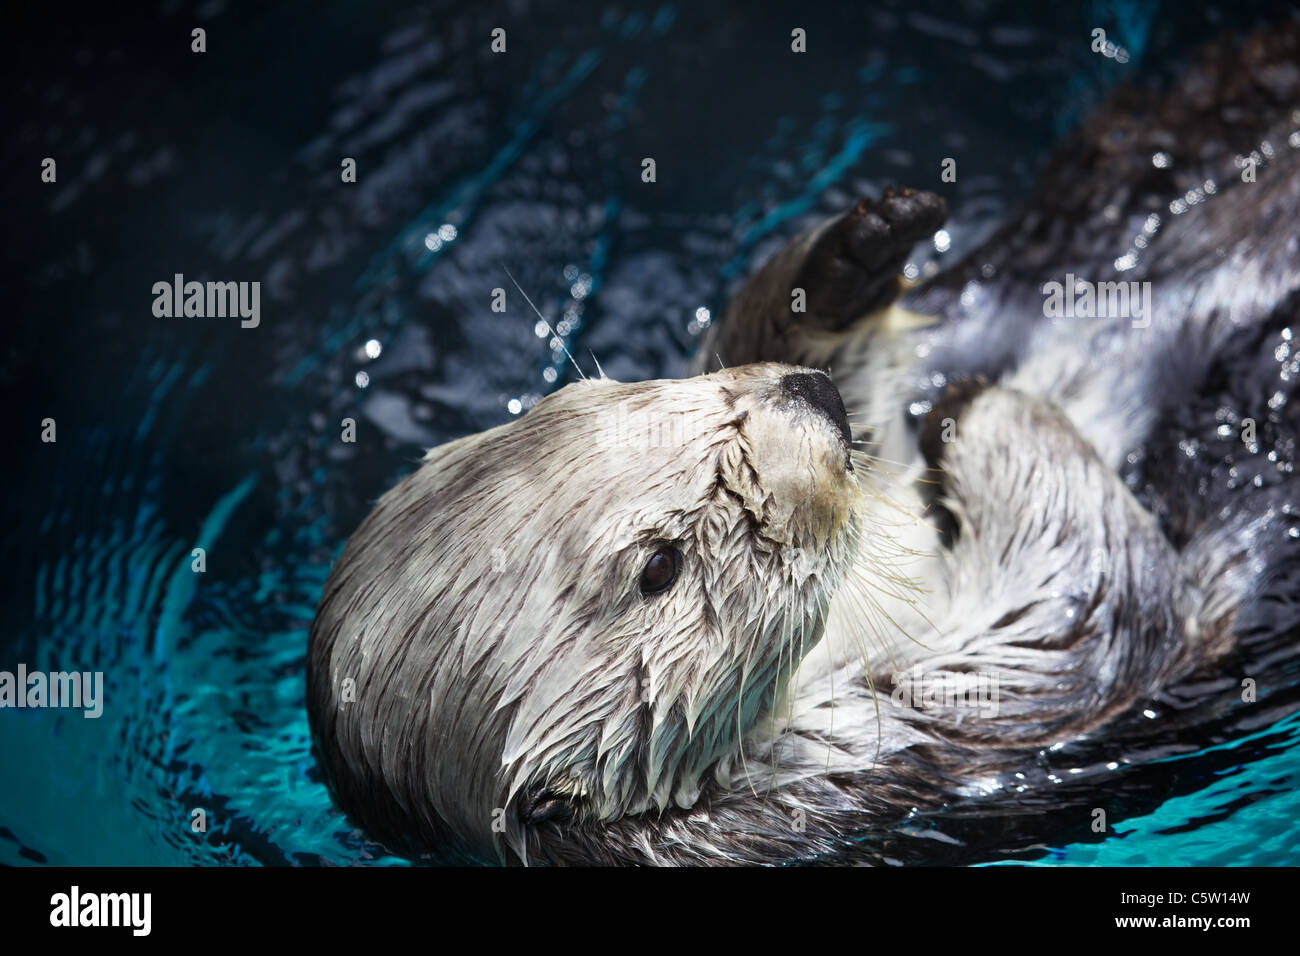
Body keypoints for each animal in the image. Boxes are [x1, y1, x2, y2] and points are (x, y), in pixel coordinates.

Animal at [307, 25, 1300, 864]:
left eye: (614, 391)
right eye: (660, 568)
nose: (809, 399)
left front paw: (851, 257)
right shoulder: (892, 745)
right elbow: (1089, 601)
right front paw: (972, 406)